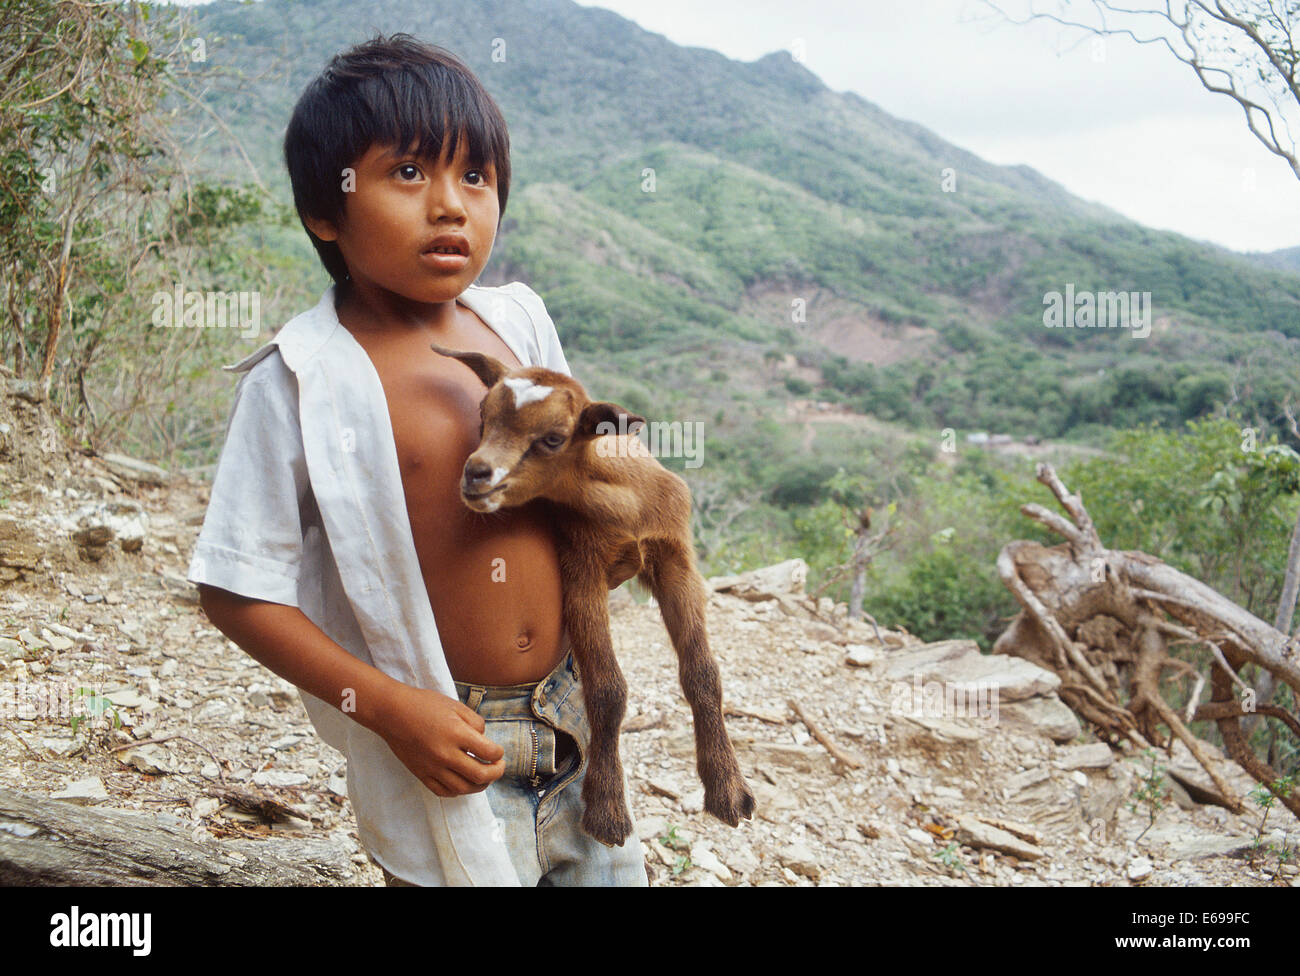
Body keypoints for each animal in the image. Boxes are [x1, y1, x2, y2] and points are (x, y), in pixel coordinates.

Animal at [429, 341, 756, 847]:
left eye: (553, 438)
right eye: (483, 415)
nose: (477, 475)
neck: (626, 503)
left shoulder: (675, 556)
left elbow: (702, 671)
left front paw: (728, 791)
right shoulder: (582, 570)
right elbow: (607, 690)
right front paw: (607, 810)